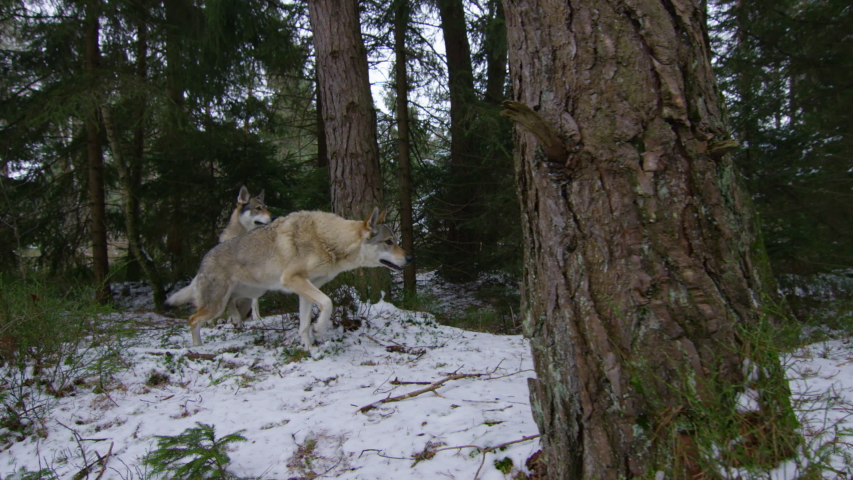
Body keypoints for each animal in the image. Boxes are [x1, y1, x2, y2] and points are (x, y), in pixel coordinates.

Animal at [166, 208, 412, 348]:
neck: (328, 240)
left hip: (248, 295)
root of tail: (203, 260)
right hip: (215, 306)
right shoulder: (293, 280)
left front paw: (310, 349)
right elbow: (328, 303)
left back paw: (235, 321)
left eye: (396, 241)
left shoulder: (306, 288)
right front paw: (319, 330)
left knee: (229, 309)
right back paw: (198, 349)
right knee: (192, 320)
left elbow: (304, 323)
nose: (410, 257)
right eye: (389, 242)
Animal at [218, 186, 272, 326]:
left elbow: (255, 302)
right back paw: (223, 320)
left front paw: (257, 318)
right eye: (258, 208)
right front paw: (232, 320)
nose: (274, 216)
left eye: (266, 207)